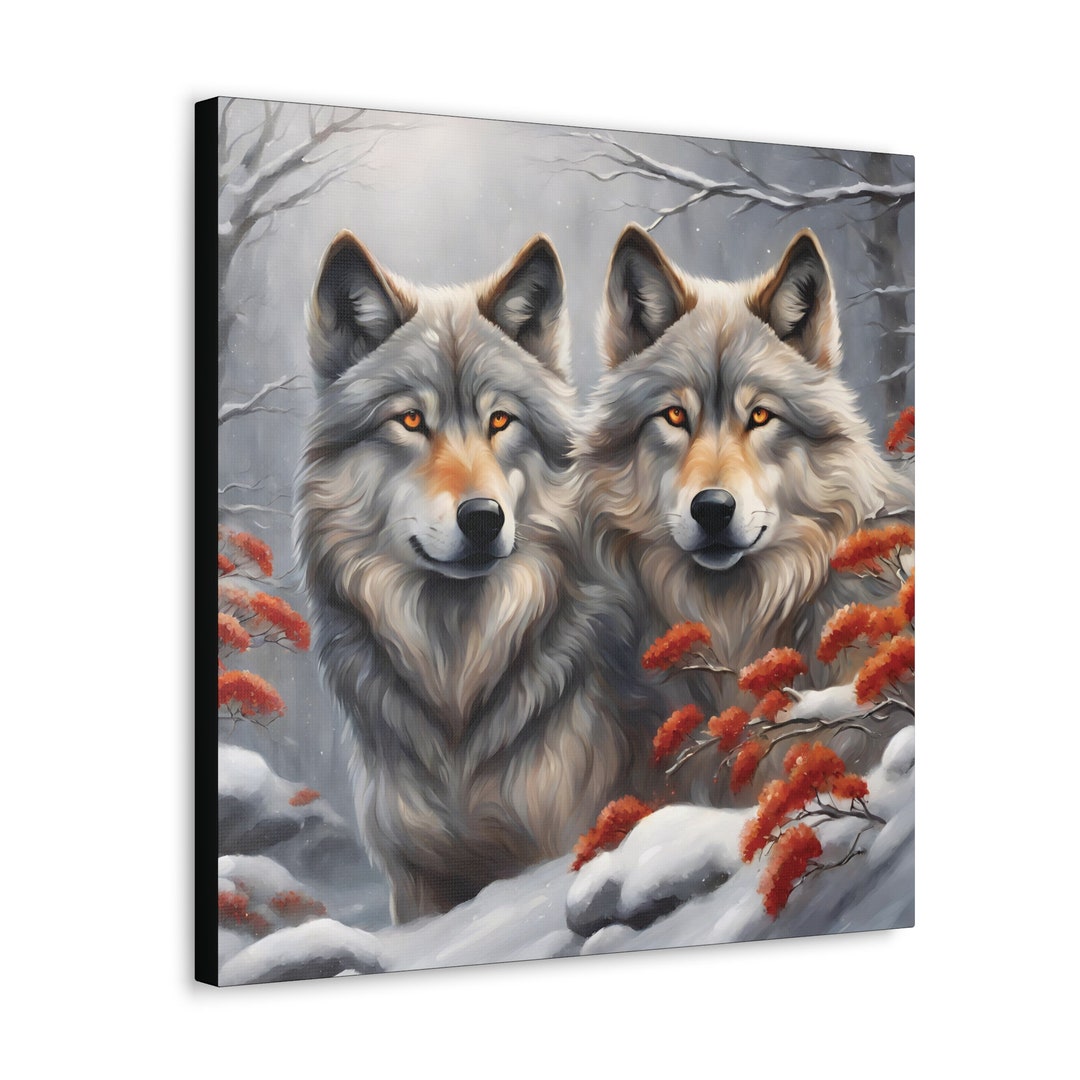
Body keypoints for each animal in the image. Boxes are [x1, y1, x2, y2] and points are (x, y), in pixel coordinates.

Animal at [295, 231, 650, 922]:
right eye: (410, 421)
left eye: (500, 421)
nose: (484, 519)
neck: (457, 680)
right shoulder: (416, 884)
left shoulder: (559, 839)